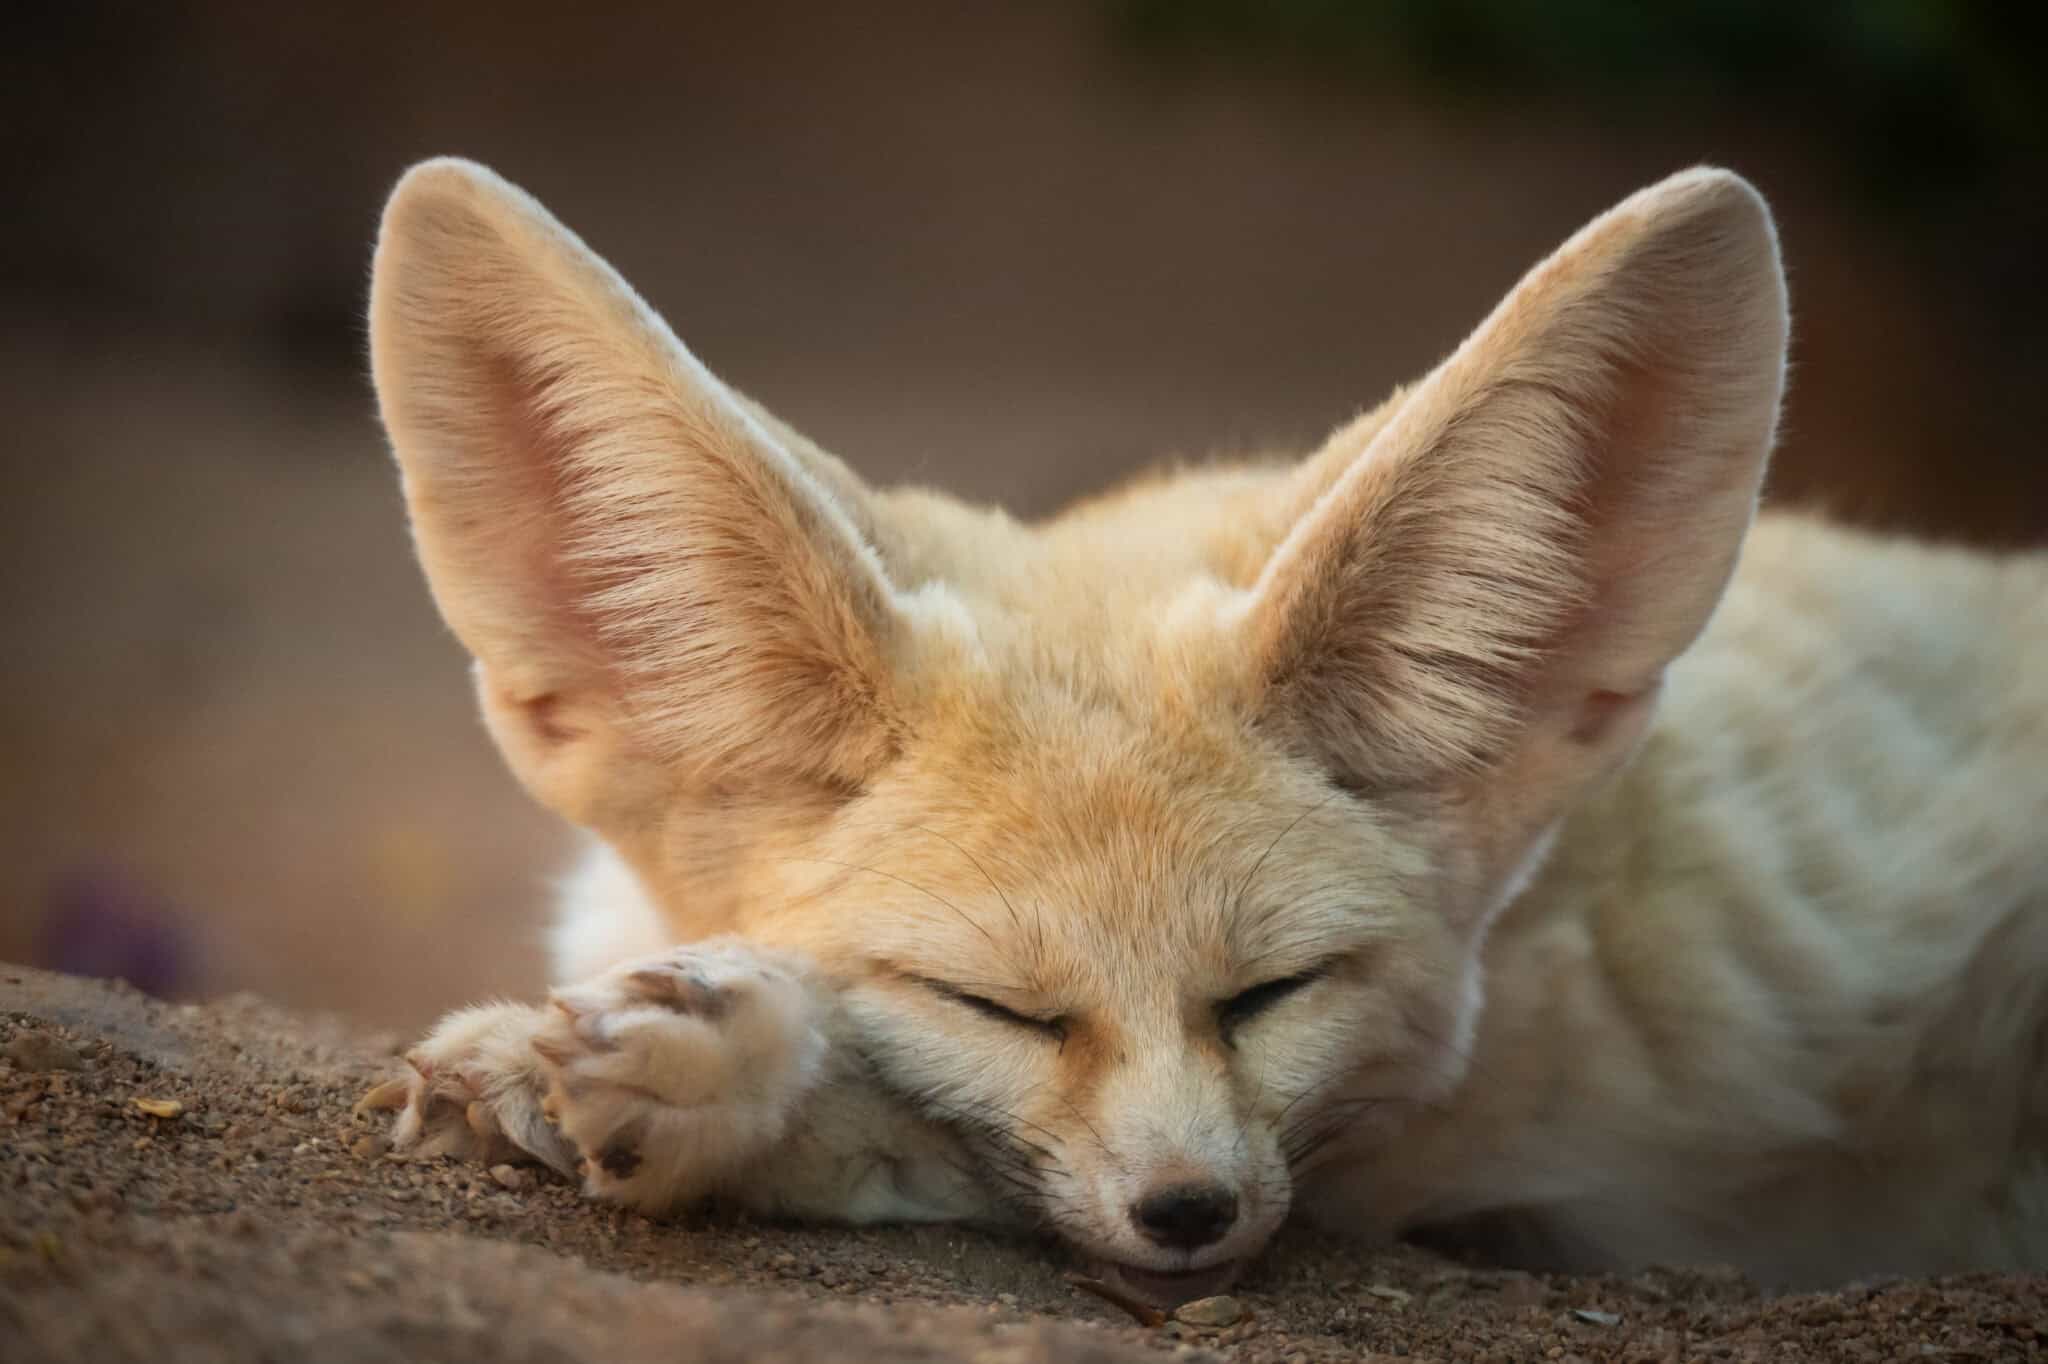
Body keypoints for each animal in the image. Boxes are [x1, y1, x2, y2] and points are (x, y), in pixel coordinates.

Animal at [362, 157, 2048, 1306]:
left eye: (1274, 993)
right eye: (996, 1007)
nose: (1189, 1215)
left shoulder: (1473, 1149)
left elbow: (929, 1138)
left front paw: (707, 1067)